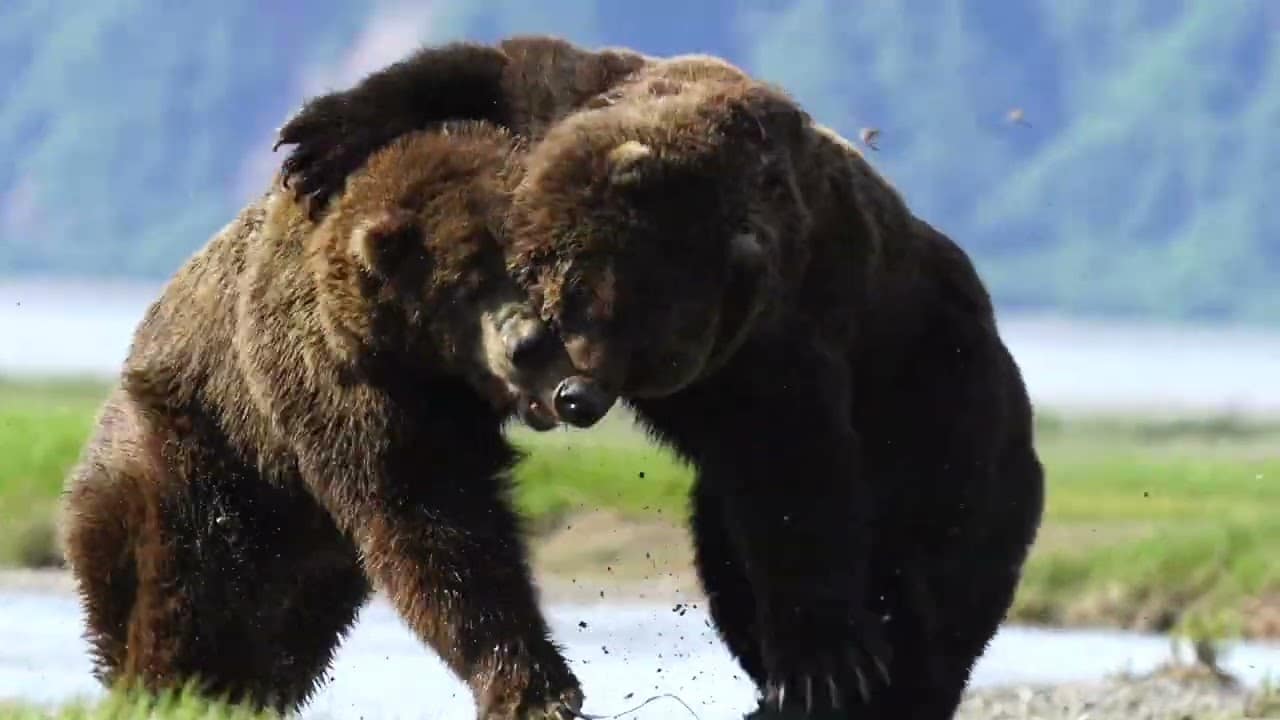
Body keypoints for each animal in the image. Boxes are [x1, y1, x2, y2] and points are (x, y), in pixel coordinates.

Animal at [59, 120, 614, 719]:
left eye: (531, 270)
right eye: (466, 284)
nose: (525, 345)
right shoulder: (340, 384)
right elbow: (434, 527)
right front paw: (537, 690)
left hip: (304, 552)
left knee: (283, 631)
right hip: (196, 452)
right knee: (182, 582)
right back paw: (165, 684)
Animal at [271, 40, 1046, 719]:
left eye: (652, 355)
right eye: (579, 298)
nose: (579, 398)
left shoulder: (774, 344)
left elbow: (796, 478)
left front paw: (822, 661)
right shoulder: (567, 101)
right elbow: (489, 68)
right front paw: (318, 141)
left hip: (947, 408)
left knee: (937, 586)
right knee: (731, 561)